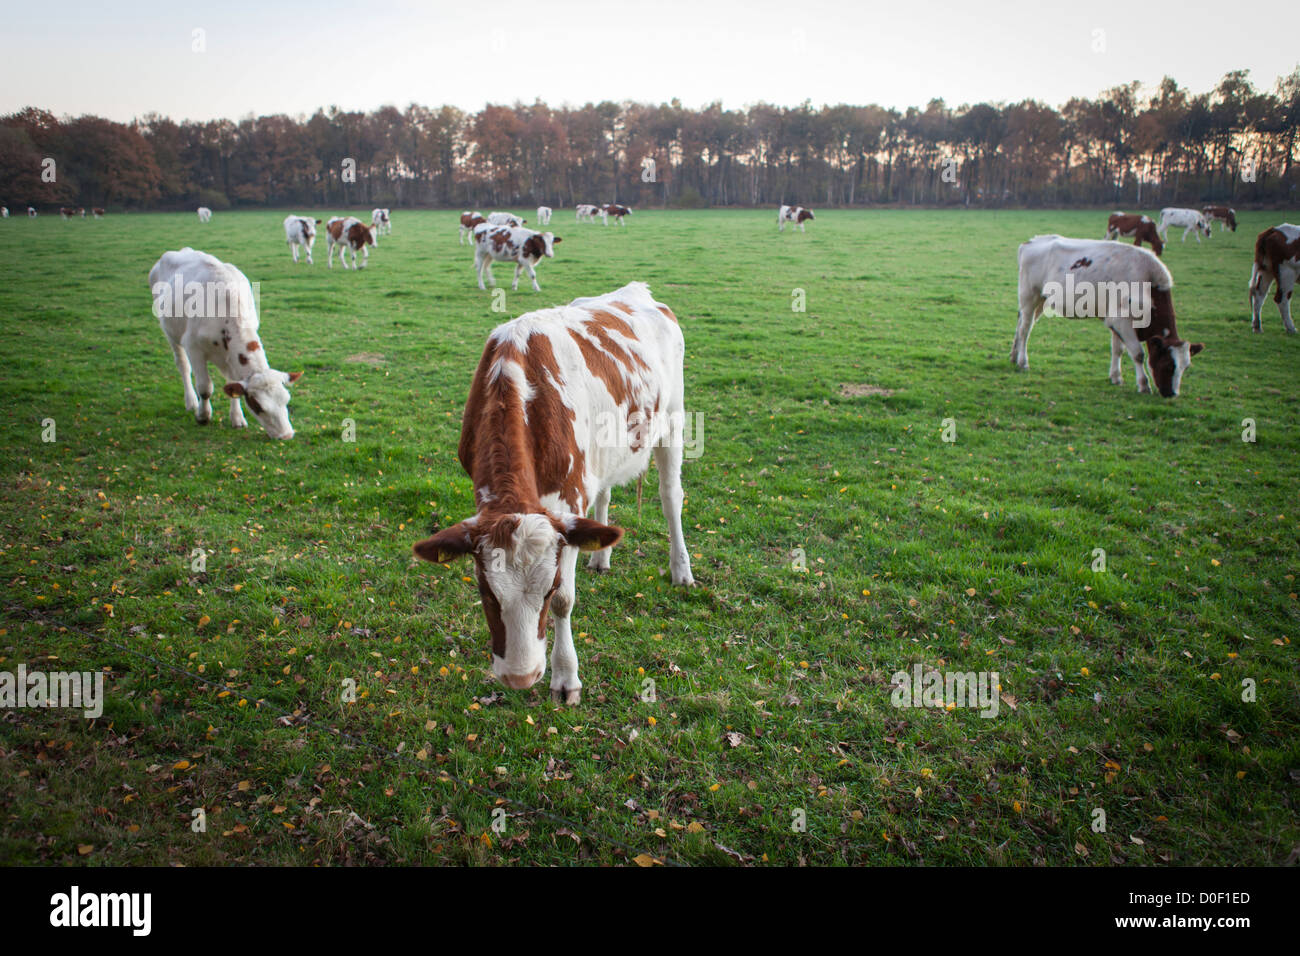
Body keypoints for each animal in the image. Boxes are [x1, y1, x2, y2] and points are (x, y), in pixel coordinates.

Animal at [148, 247, 302, 439]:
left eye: (286, 400)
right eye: (257, 405)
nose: (286, 435)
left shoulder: (231, 356)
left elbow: (232, 385)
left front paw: (237, 418)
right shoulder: (193, 347)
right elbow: (205, 387)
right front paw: (203, 416)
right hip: (170, 332)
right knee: (183, 365)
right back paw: (191, 401)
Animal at [411, 281, 694, 702]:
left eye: (547, 592)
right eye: (486, 593)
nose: (520, 677)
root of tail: (638, 289)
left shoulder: (567, 504)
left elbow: (566, 601)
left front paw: (566, 678)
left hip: (673, 420)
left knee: (671, 496)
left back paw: (681, 570)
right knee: (604, 496)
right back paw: (601, 557)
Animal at [1013, 235, 1204, 398]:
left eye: (1186, 367)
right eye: (1168, 365)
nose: (1173, 394)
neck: (1147, 280)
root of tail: (1031, 241)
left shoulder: (1115, 320)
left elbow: (1118, 349)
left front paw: (1116, 377)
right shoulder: (1121, 321)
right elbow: (1138, 354)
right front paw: (1143, 385)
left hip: (1041, 301)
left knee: (1022, 325)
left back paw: (1014, 356)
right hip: (1029, 297)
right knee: (1025, 329)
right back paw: (1023, 362)